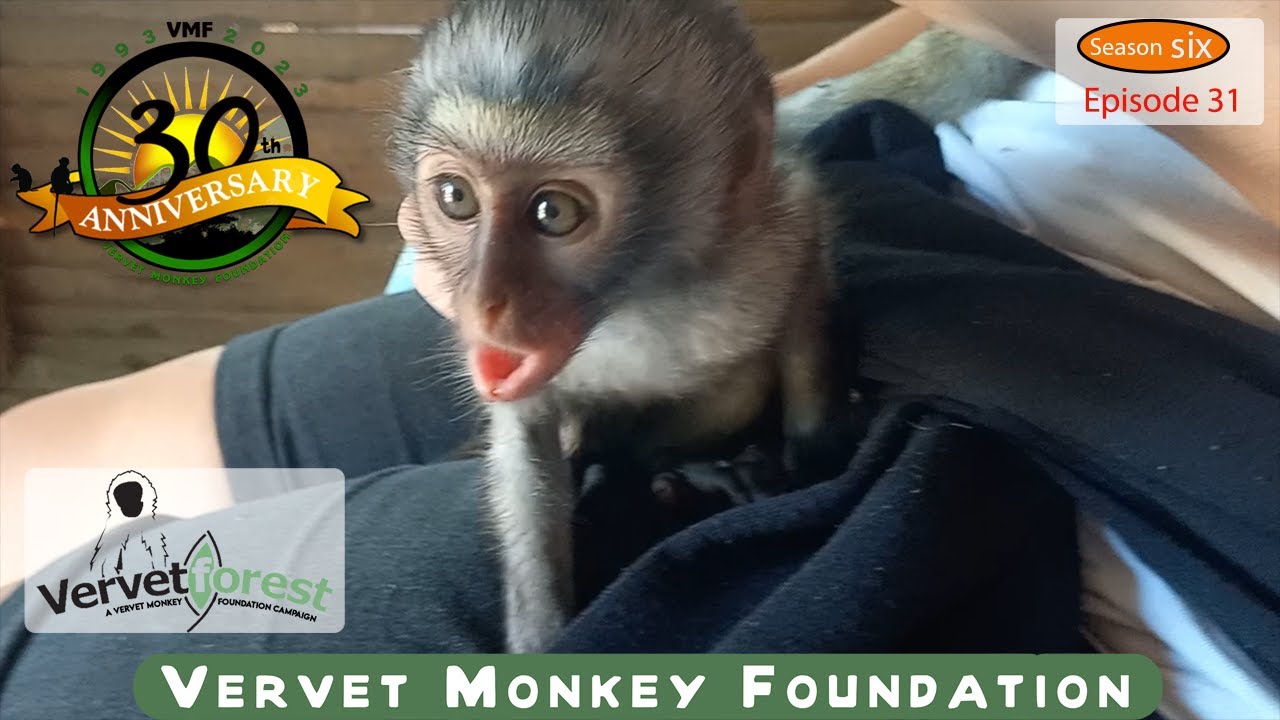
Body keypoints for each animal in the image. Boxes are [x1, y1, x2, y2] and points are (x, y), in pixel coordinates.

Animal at [389, 0, 1037, 653]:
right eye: (456, 197)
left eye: (553, 212)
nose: (484, 303)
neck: (633, 299)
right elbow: (528, 433)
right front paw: (541, 631)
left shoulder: (770, 233)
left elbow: (804, 284)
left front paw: (815, 452)